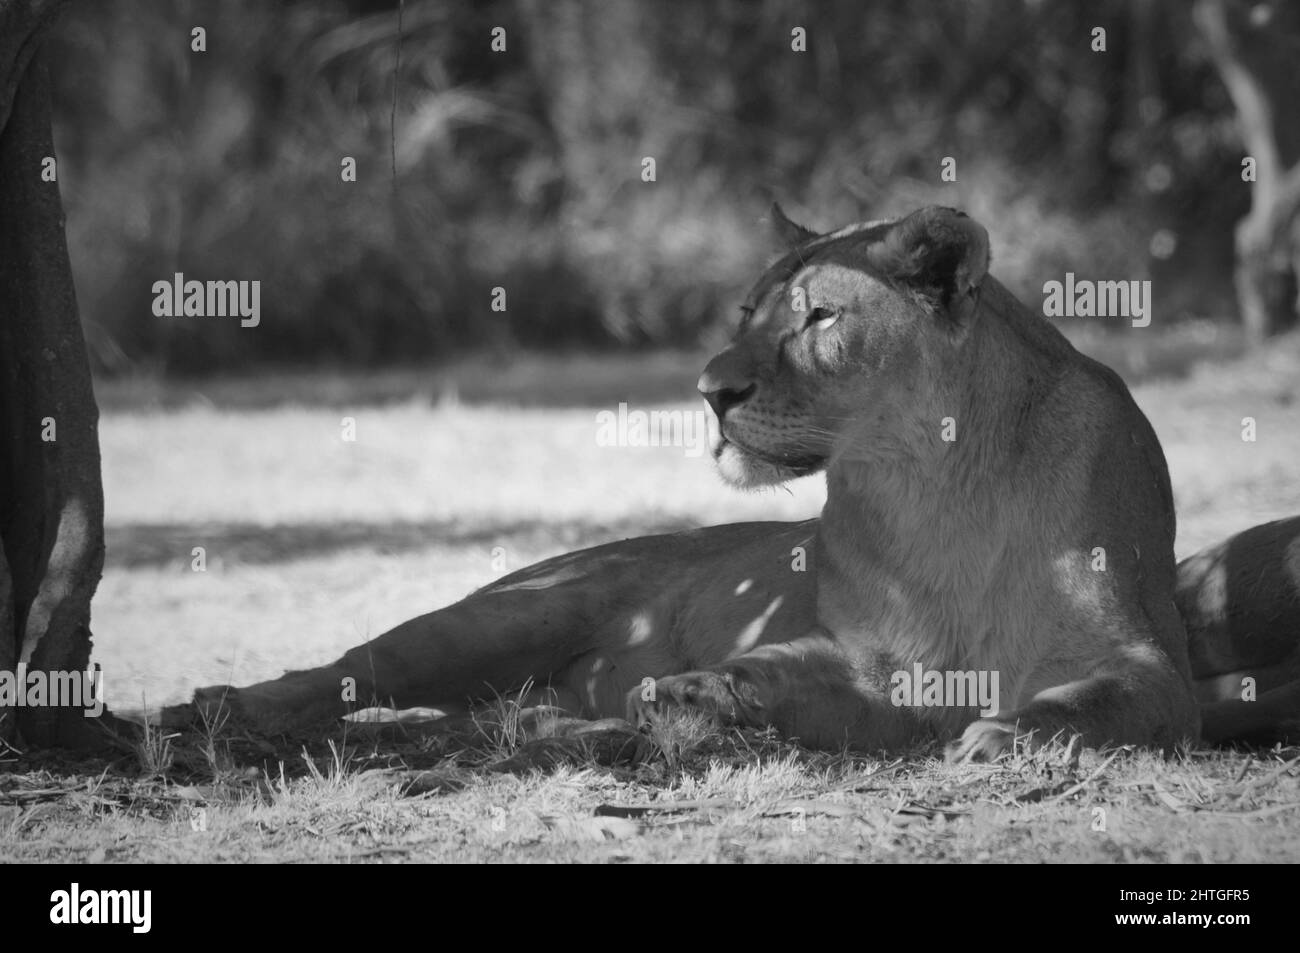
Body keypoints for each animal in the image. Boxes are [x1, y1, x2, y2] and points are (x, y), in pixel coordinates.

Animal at [172, 205, 1300, 760]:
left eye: (818, 317)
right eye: (746, 312)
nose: (710, 390)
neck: (936, 479)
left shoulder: (1145, 661)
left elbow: (1094, 699)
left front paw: (1011, 731)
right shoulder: (862, 660)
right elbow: (775, 666)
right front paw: (700, 689)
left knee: (486, 717)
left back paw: (572, 726)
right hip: (497, 614)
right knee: (350, 668)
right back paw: (225, 708)